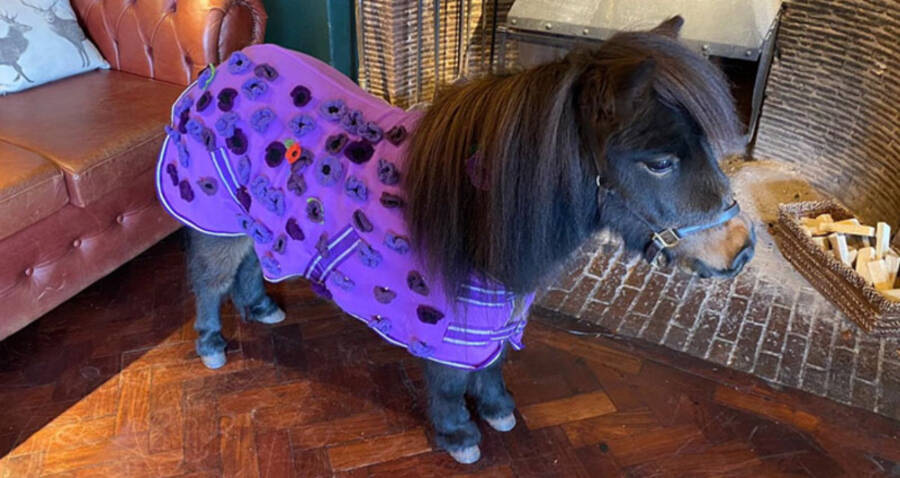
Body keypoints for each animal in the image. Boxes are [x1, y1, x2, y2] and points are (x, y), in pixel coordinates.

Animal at [158, 16, 754, 464]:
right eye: (659, 162)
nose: (741, 249)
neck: (473, 213)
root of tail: (219, 70)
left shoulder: (495, 310)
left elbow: (492, 363)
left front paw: (496, 409)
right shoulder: (445, 322)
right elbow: (448, 381)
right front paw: (458, 435)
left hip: (249, 217)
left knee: (247, 266)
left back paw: (260, 308)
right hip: (214, 217)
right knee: (209, 279)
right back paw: (211, 344)